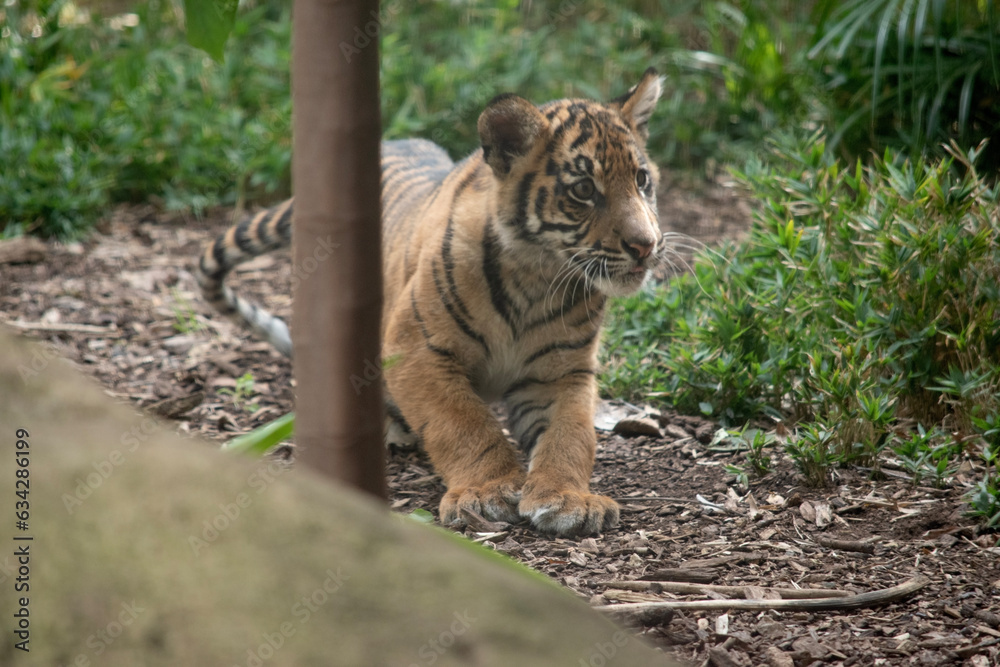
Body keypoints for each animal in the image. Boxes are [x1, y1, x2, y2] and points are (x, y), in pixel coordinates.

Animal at [197, 68, 664, 536]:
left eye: (641, 179)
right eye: (584, 189)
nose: (646, 245)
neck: (537, 276)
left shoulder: (562, 371)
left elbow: (570, 435)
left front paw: (568, 498)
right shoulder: (416, 350)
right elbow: (464, 423)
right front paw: (488, 490)